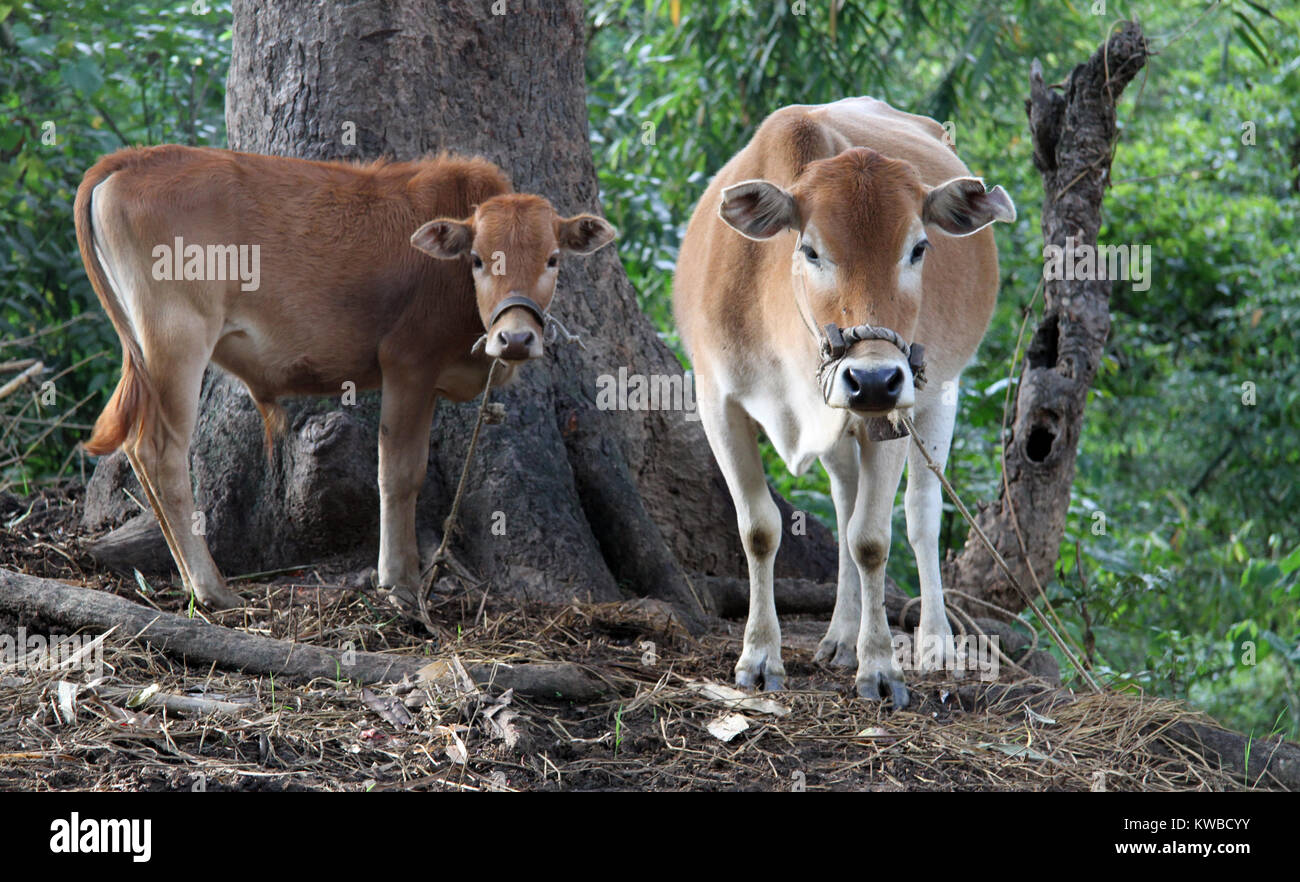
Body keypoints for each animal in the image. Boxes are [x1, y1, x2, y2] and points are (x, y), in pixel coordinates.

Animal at [75, 145, 616, 611]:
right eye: (478, 259)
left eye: (552, 258)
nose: (516, 338)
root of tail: (137, 157)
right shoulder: (407, 363)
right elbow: (399, 473)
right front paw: (400, 582)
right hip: (177, 337)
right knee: (160, 452)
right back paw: (212, 588)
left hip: (144, 349)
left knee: (136, 449)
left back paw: (191, 581)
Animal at [673, 97, 1015, 708]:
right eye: (810, 249)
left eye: (918, 248)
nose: (872, 379)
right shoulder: (718, 401)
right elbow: (759, 529)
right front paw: (759, 656)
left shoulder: (898, 407)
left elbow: (871, 539)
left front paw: (879, 666)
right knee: (844, 497)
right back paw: (839, 633)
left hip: (940, 394)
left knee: (921, 514)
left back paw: (936, 641)